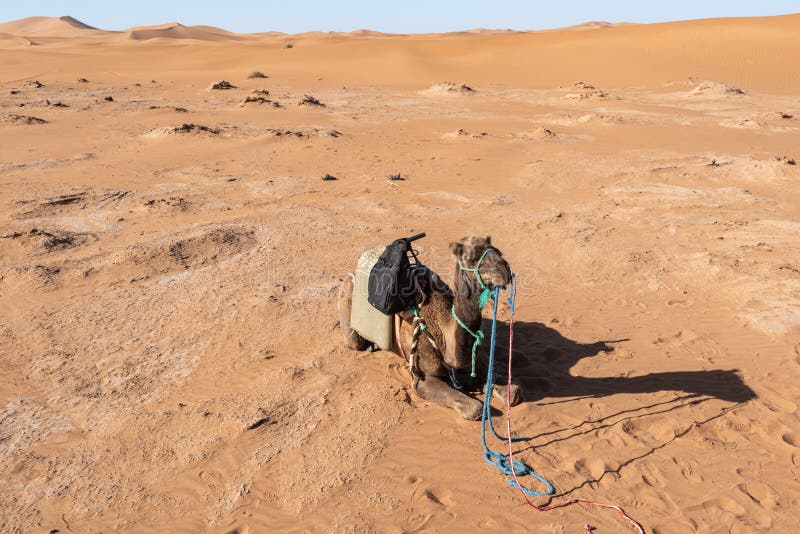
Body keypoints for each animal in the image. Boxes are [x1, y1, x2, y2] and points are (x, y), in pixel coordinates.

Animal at [337, 236, 521, 420]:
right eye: (470, 258)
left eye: (498, 252)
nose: (504, 269)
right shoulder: (422, 378)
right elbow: (474, 408)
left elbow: (512, 392)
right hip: (346, 300)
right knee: (354, 341)